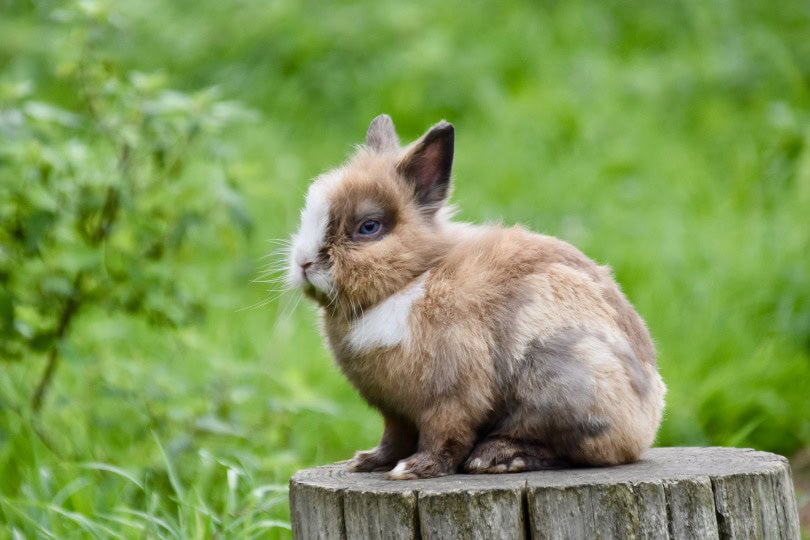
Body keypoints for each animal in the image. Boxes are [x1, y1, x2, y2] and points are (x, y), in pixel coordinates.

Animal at [285, 114, 666, 479]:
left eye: (368, 227)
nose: (304, 263)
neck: (413, 279)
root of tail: (648, 421)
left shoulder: (450, 397)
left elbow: (444, 436)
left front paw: (414, 470)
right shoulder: (395, 411)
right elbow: (393, 439)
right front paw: (367, 462)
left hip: (562, 381)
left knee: (570, 450)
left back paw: (495, 458)